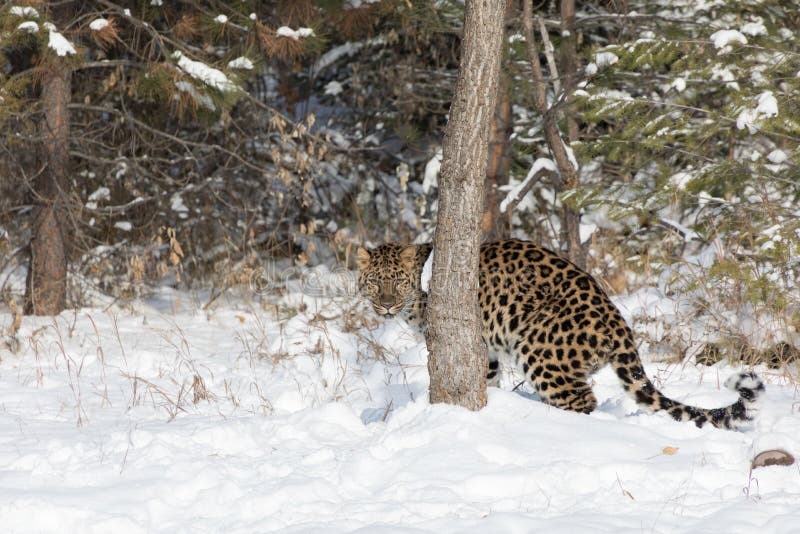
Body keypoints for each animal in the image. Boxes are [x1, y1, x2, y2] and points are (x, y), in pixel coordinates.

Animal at [357, 239, 764, 430]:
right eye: (375, 283)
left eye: (397, 282)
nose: (387, 306)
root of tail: (619, 324)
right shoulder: (487, 351)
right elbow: (487, 379)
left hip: (541, 353)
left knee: (582, 401)